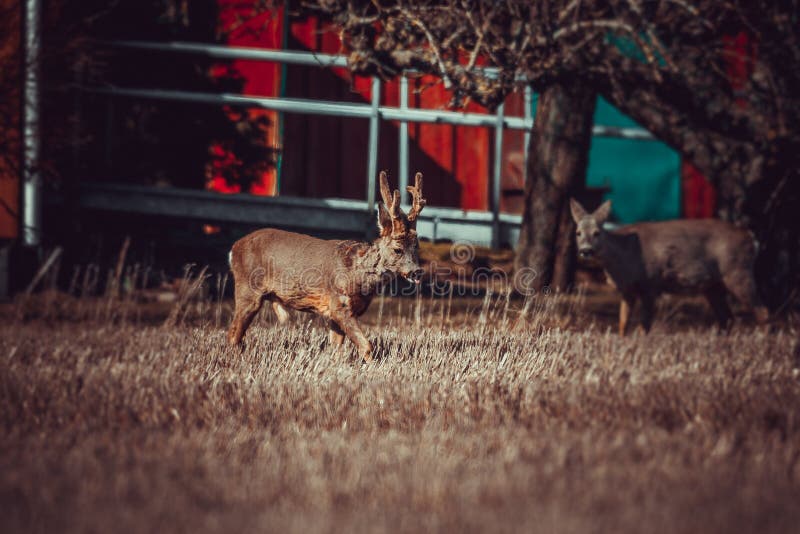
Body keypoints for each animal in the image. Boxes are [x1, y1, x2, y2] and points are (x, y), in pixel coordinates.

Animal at [227, 171, 426, 362]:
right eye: (397, 249)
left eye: (416, 246)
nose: (417, 271)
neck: (356, 271)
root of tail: (234, 248)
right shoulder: (339, 304)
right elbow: (366, 346)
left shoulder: (335, 312)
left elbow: (336, 349)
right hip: (247, 290)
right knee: (233, 333)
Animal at [569, 198, 769, 335]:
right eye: (578, 232)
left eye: (597, 232)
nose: (585, 251)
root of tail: (751, 238)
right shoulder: (628, 290)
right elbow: (623, 323)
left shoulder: (651, 284)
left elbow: (644, 326)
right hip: (713, 286)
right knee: (727, 318)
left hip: (738, 272)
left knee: (762, 312)